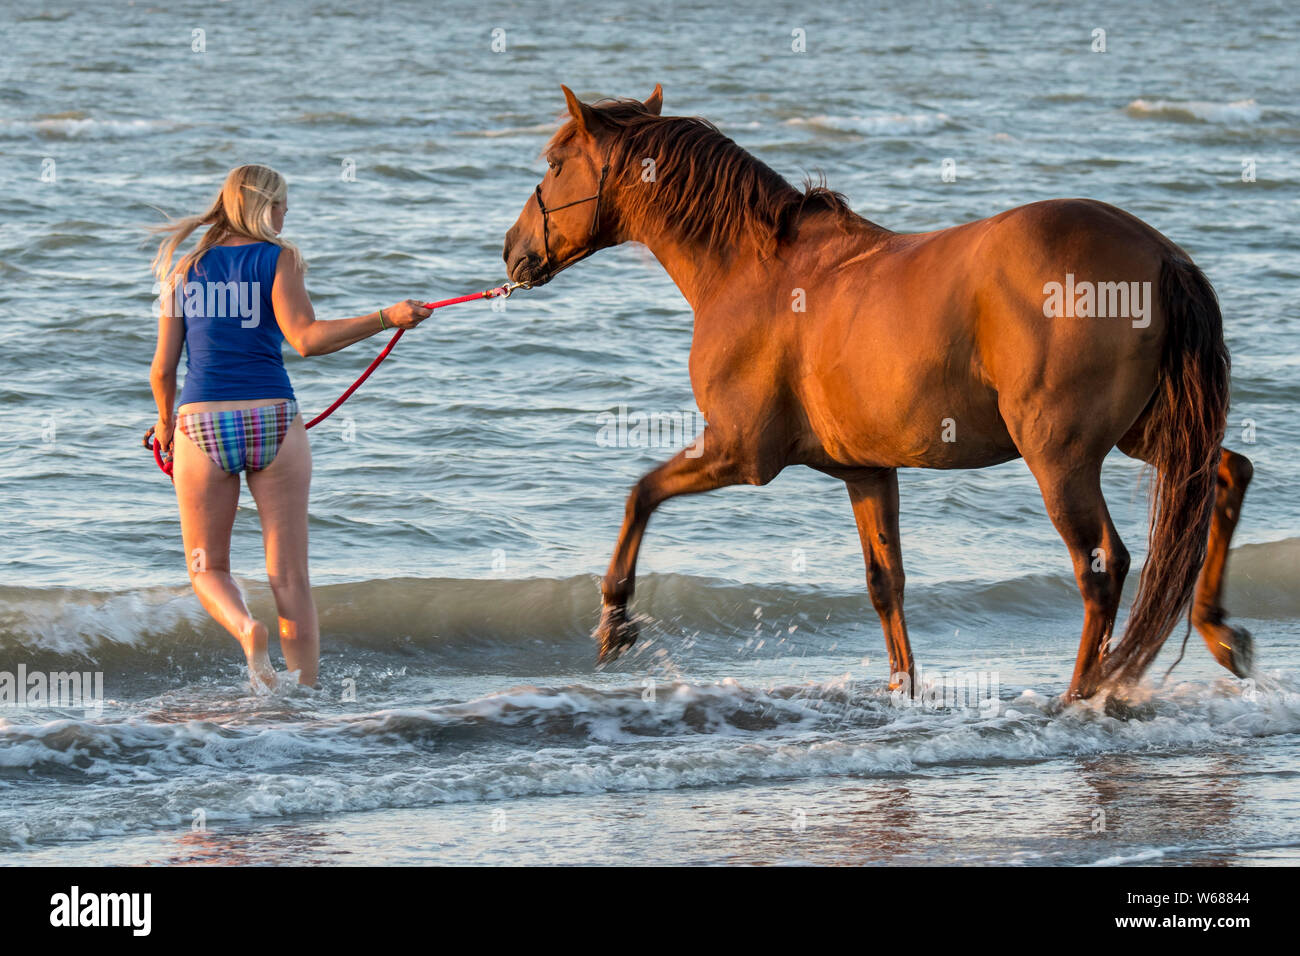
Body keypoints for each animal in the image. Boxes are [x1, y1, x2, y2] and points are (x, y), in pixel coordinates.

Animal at [502, 84, 1255, 700]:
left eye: (555, 164)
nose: (512, 251)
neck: (753, 271)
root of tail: (1161, 255)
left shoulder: (739, 455)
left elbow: (640, 494)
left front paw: (615, 622)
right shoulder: (865, 470)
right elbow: (884, 584)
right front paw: (903, 694)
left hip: (1061, 458)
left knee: (1103, 566)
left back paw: (1084, 694)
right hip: (1150, 433)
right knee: (1225, 475)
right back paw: (1219, 634)